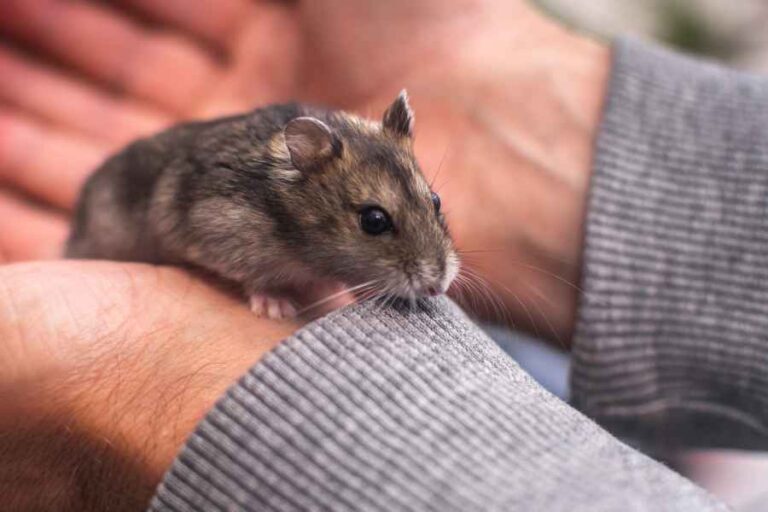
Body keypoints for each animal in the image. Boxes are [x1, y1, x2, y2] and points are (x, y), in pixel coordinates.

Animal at [66, 91, 459, 319]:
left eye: (436, 200)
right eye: (374, 220)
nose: (438, 287)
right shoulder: (221, 230)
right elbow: (256, 279)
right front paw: (276, 308)